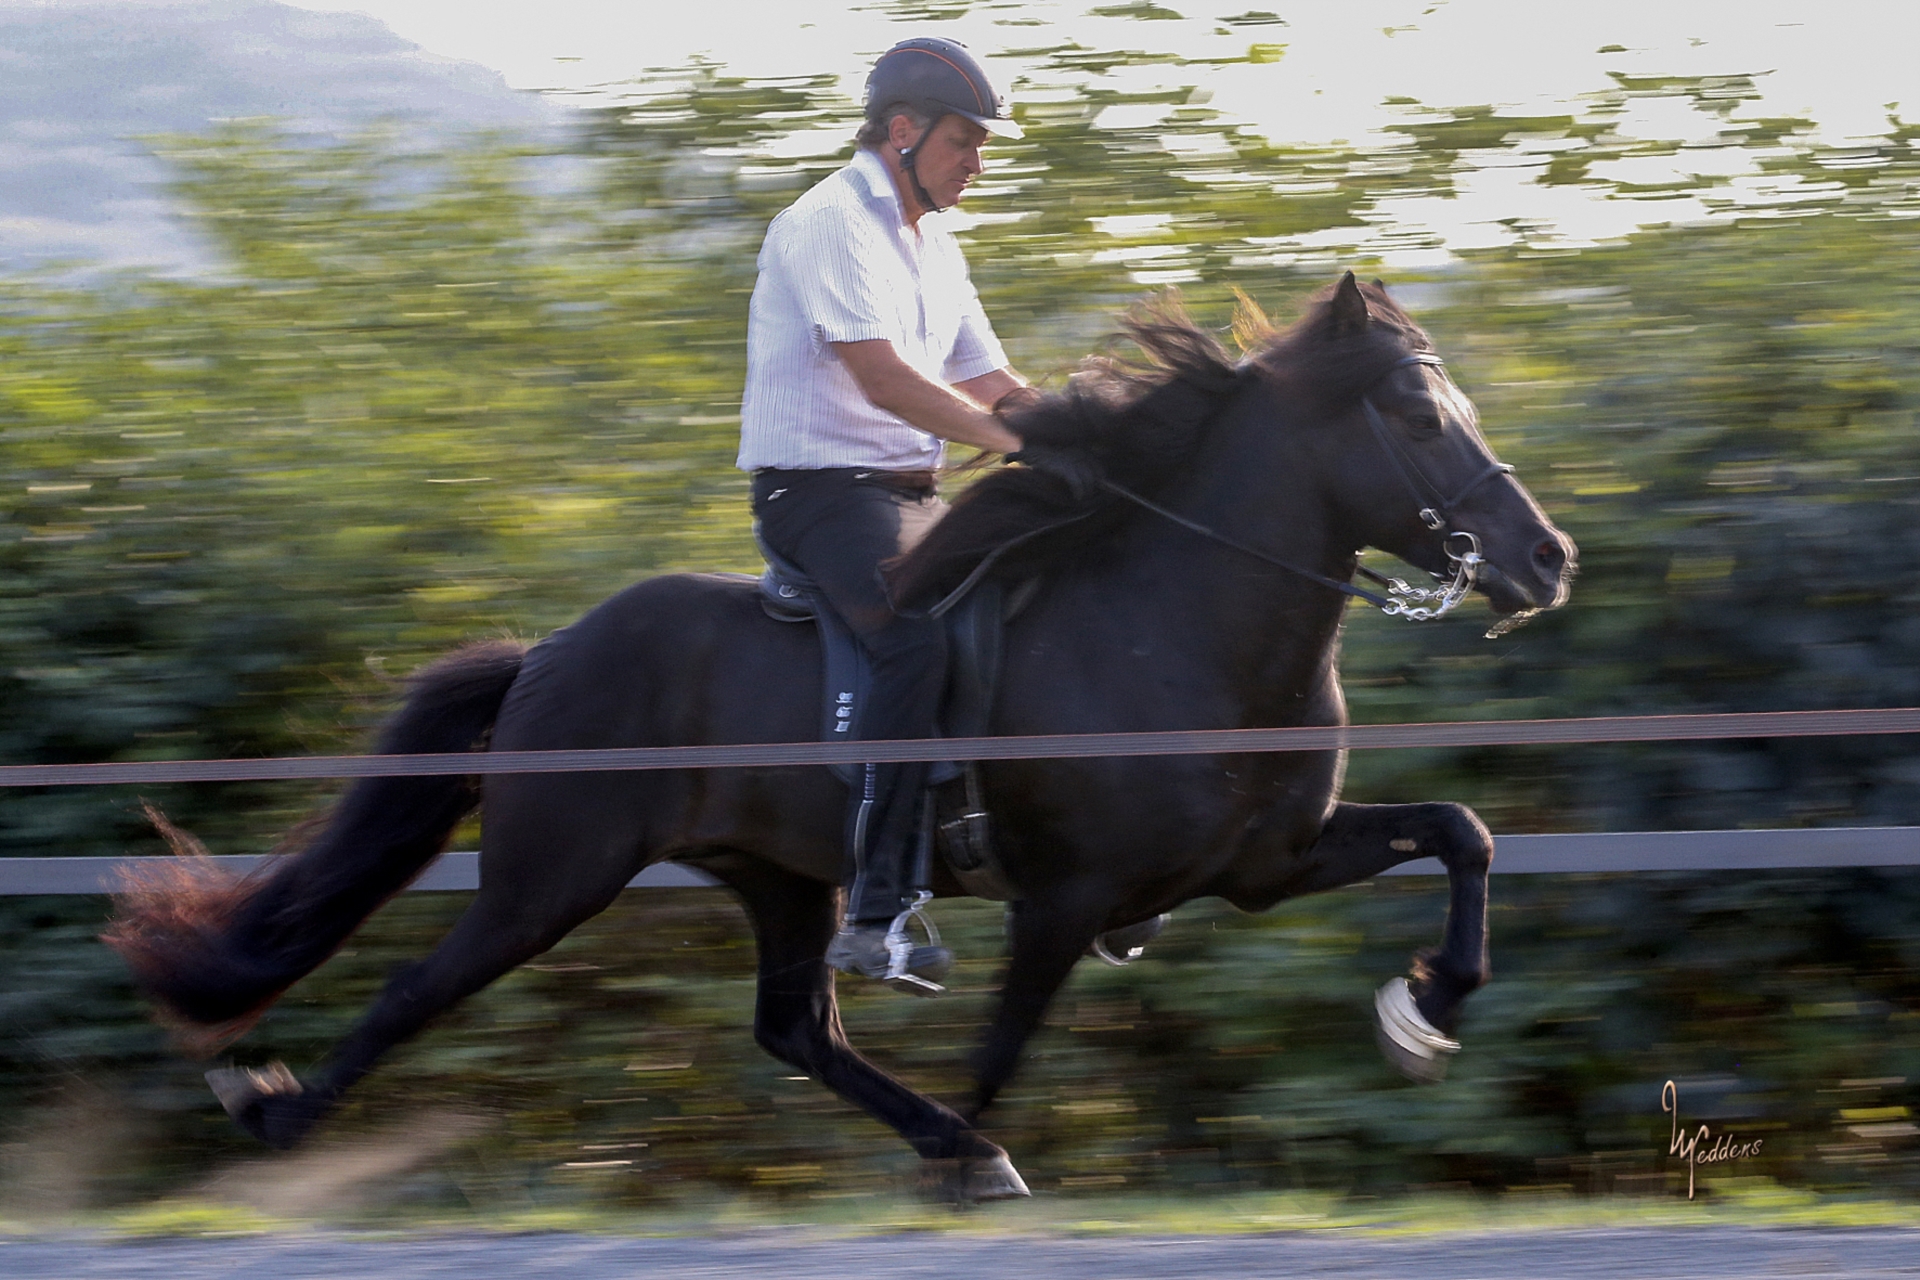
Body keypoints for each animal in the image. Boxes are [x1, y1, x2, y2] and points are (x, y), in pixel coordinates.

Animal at [106, 273, 1576, 1200]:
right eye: (1415, 413)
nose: (1544, 558)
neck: (1184, 631)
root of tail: (550, 652)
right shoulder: (1068, 898)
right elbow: (1006, 1043)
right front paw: (971, 1151)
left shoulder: (1264, 865)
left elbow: (1463, 833)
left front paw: (1423, 1011)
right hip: (553, 874)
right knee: (423, 987)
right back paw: (276, 1111)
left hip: (777, 877)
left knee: (795, 1029)